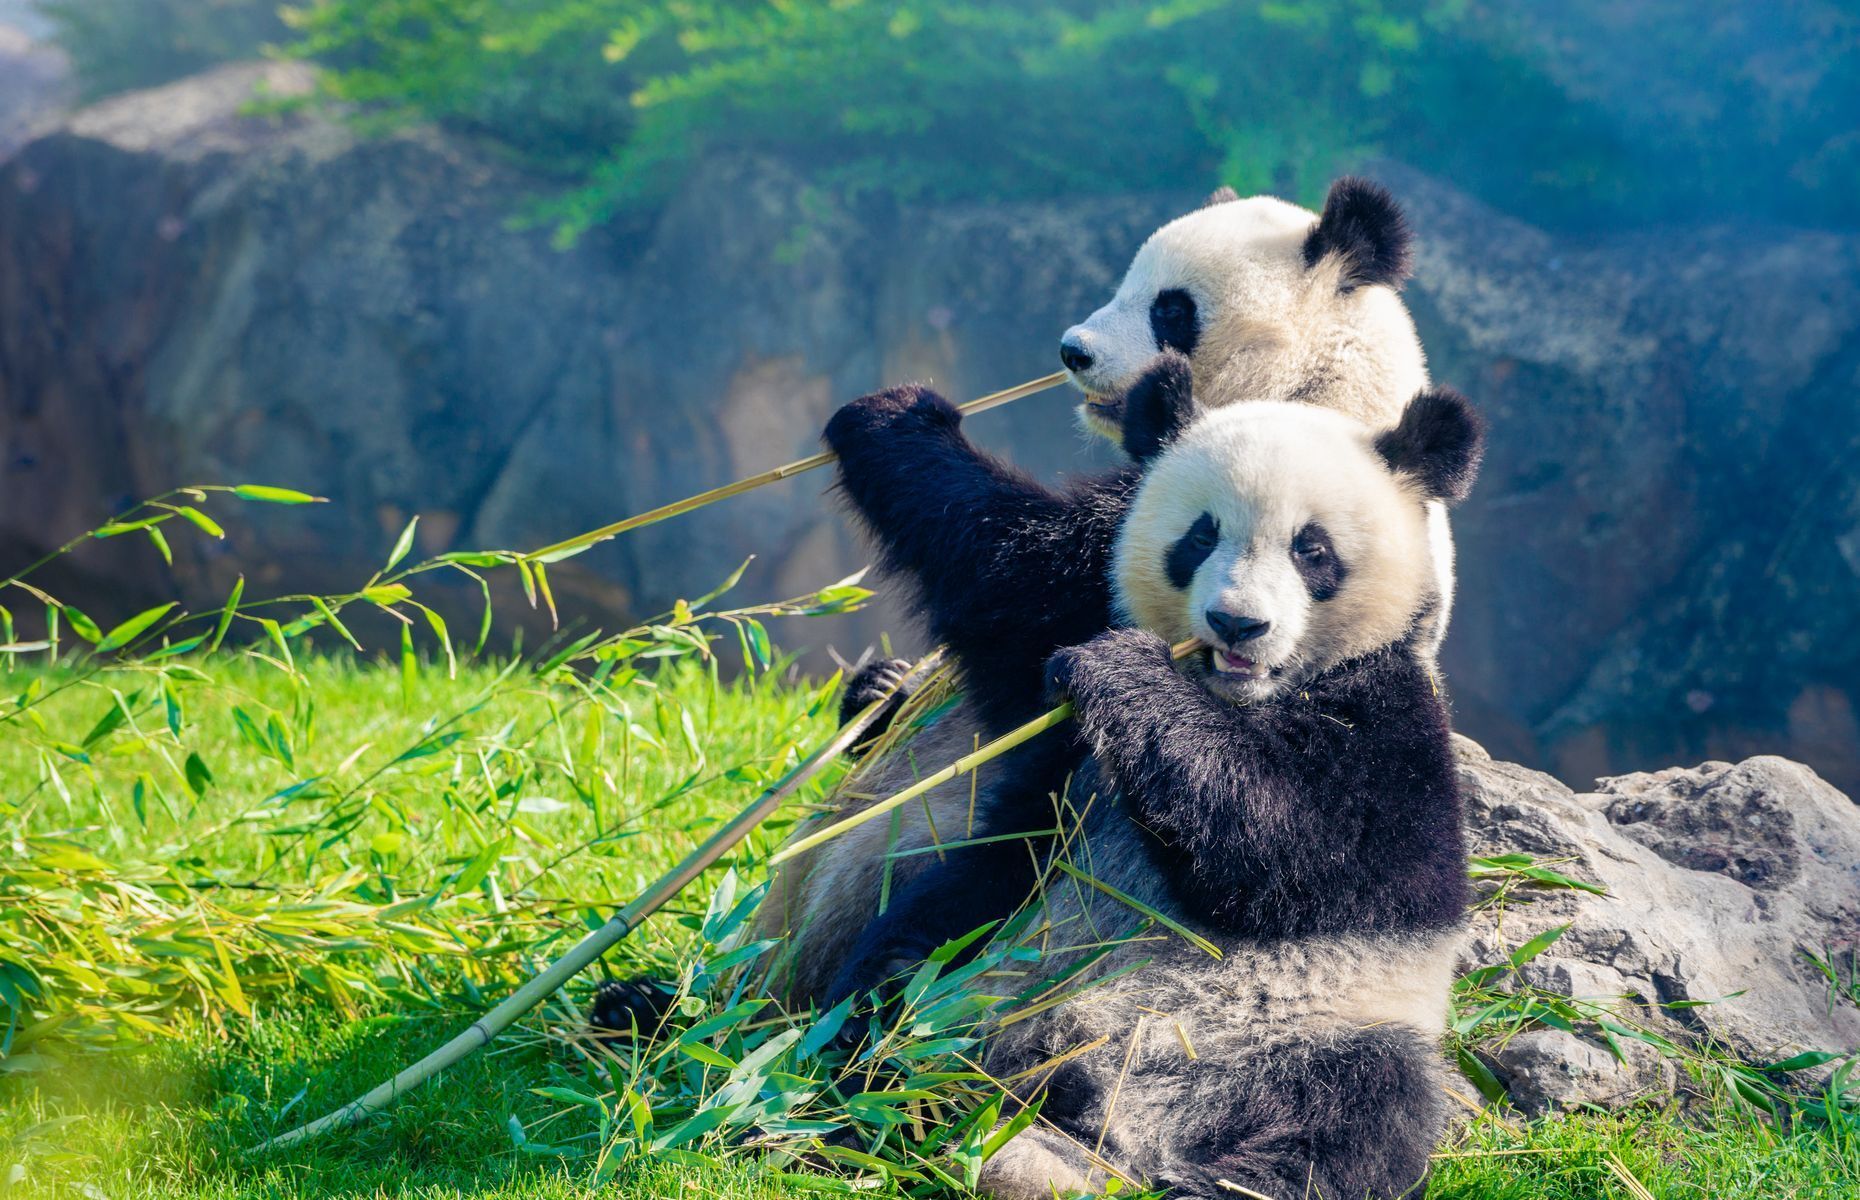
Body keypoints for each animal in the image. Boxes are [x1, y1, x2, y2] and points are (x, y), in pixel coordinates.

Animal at [825, 379, 1483, 1200]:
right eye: (1199, 537)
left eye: (1312, 549)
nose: (1237, 623)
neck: (1234, 697)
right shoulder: (1074, 619)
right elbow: (999, 565)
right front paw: (898, 415)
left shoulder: (1392, 725)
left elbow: (1307, 849)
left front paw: (1125, 674)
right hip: (989, 938)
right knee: (896, 976)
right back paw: (872, 1094)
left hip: (1320, 1027)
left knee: (1358, 1119)